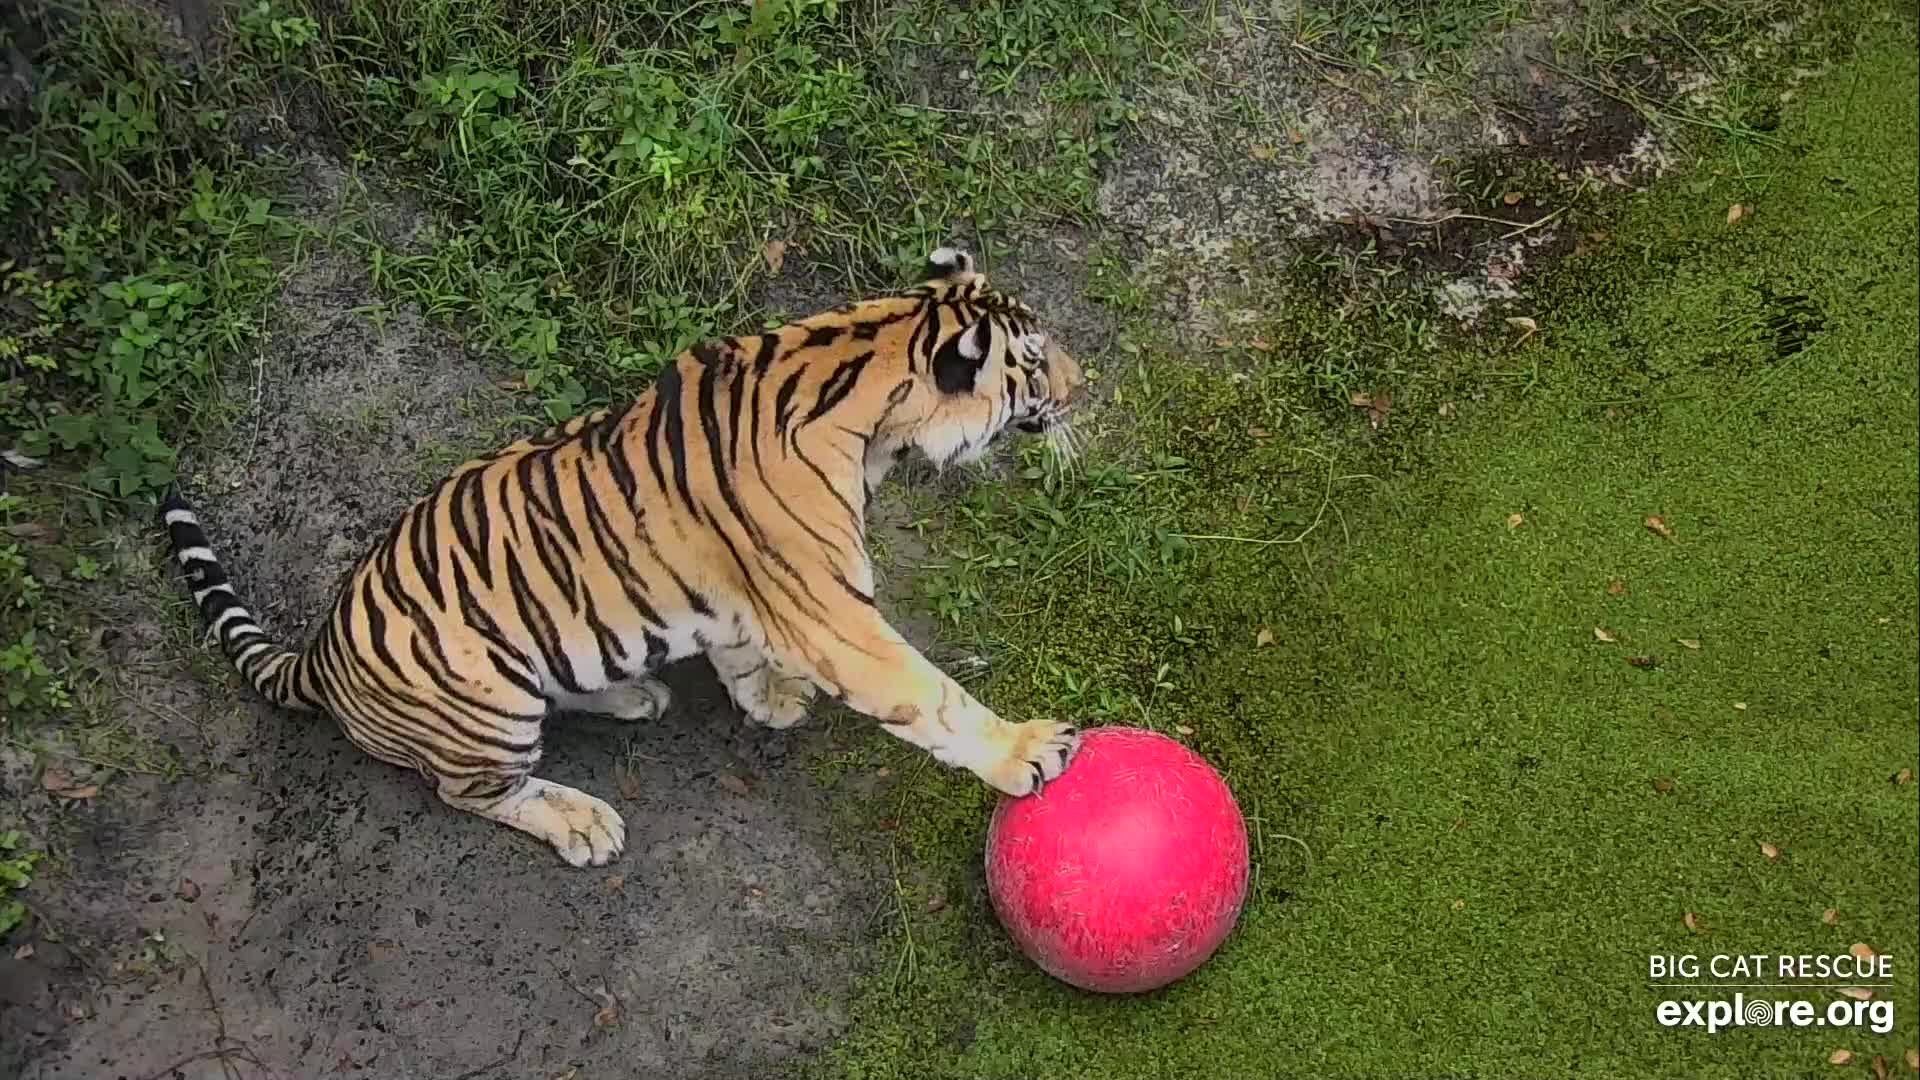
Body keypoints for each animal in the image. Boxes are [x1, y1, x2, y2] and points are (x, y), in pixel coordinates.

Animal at [158, 247, 1086, 868]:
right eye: (1035, 362)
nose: (1084, 384)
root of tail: (319, 652)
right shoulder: (831, 610)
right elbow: (934, 699)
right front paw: (1028, 751)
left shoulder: (752, 601)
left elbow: (740, 655)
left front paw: (772, 698)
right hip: (487, 699)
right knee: (470, 791)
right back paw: (581, 821)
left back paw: (635, 694)